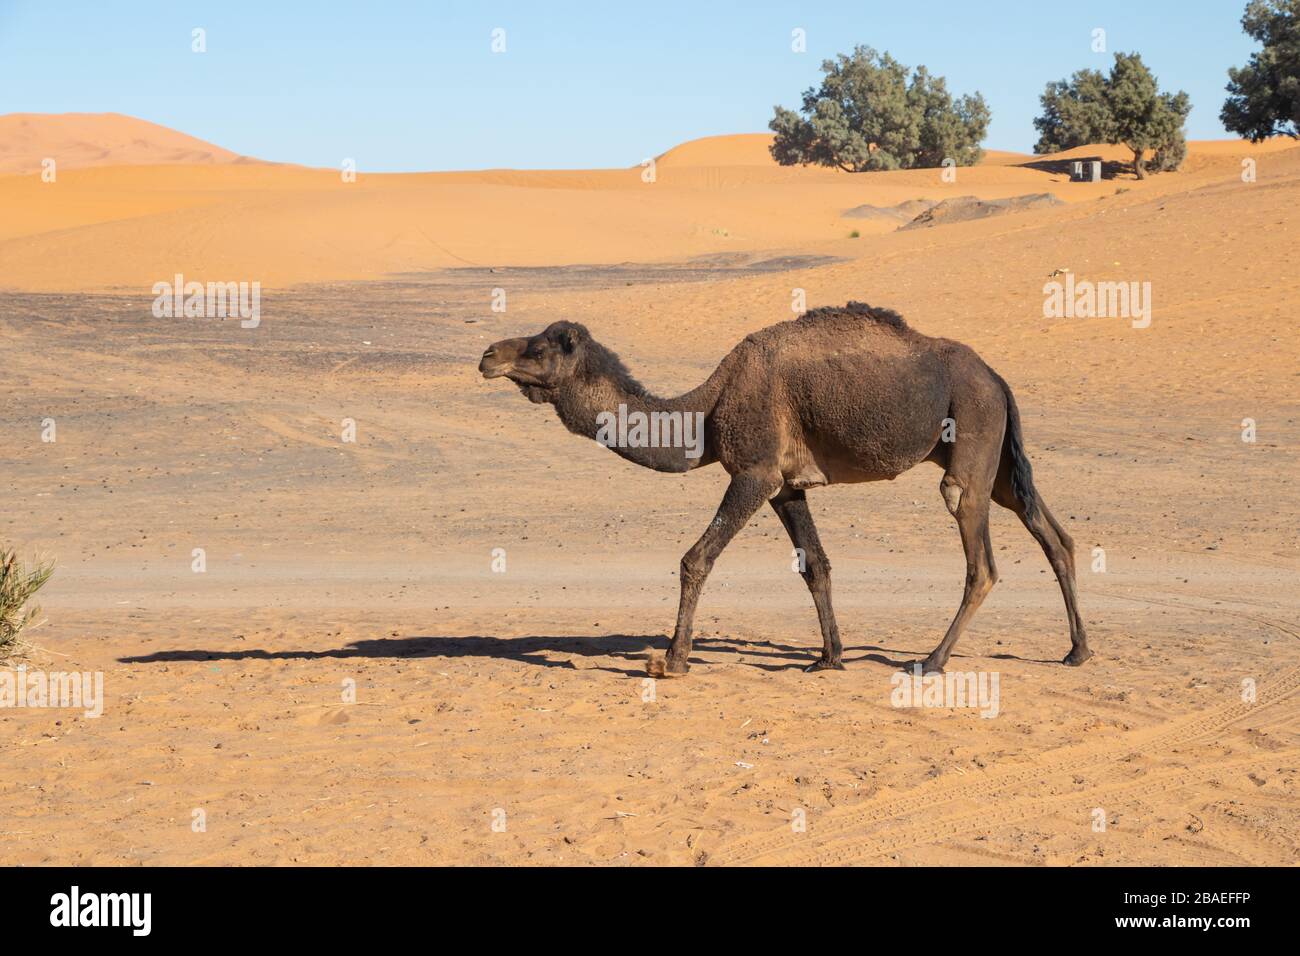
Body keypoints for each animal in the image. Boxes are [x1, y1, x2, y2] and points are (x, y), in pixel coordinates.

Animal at [479, 302, 1091, 676]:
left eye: (541, 348)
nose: (487, 355)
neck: (708, 408)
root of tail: (997, 378)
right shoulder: (786, 486)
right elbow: (815, 565)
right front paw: (830, 657)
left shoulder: (754, 472)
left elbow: (695, 559)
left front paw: (672, 660)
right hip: (998, 460)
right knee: (1052, 534)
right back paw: (1078, 651)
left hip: (972, 437)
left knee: (978, 553)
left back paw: (932, 660)